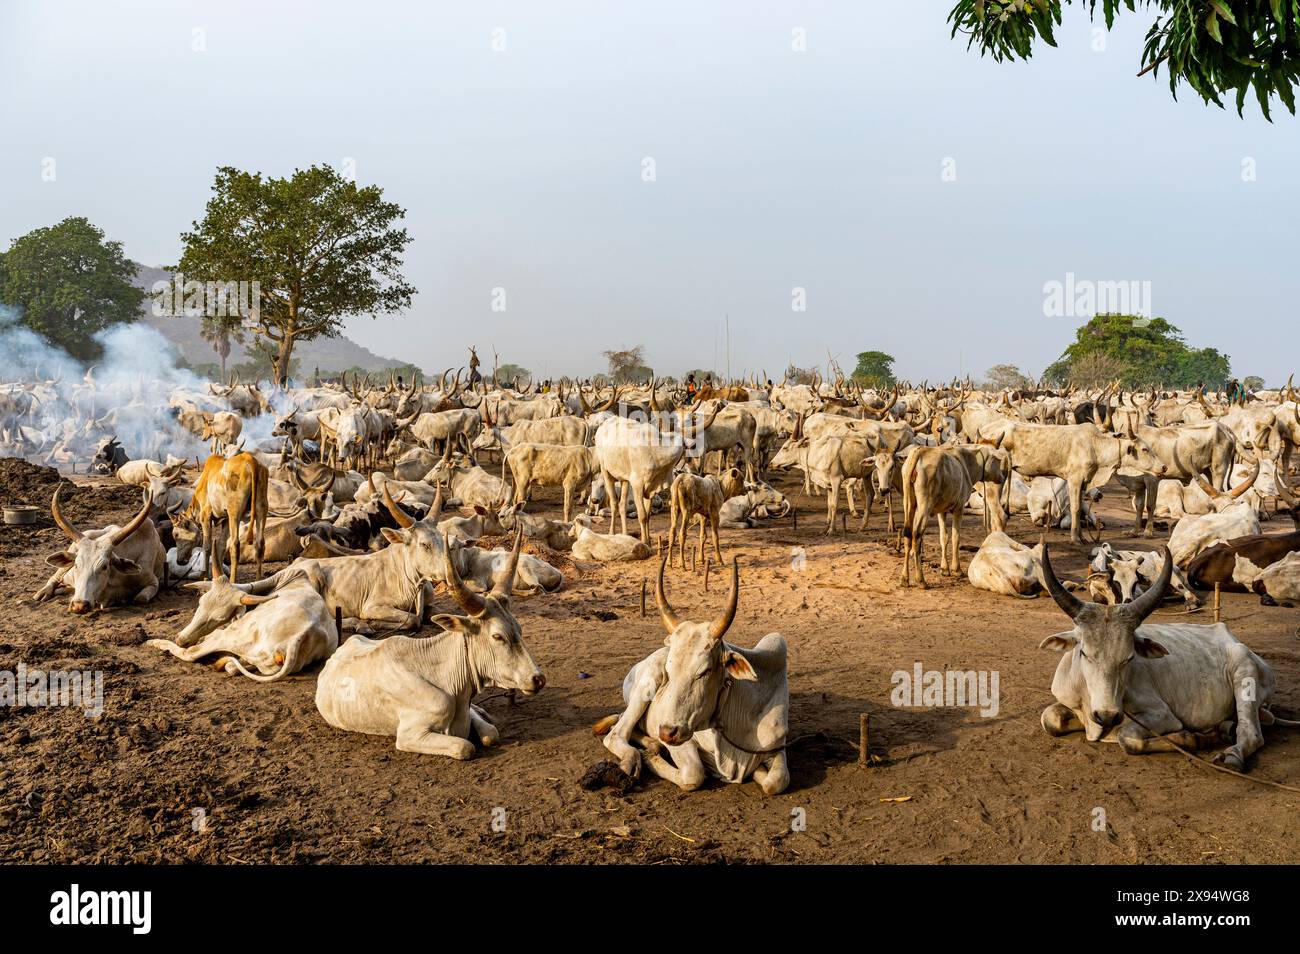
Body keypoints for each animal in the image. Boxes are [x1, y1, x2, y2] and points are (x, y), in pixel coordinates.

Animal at [33, 486, 166, 613]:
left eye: (104, 567)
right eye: (76, 565)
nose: (79, 605)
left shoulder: (153, 582)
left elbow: (140, 599)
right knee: (54, 577)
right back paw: (43, 593)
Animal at [146, 573, 337, 681]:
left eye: (220, 617)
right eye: (200, 602)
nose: (182, 639)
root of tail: (296, 640)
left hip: (230, 636)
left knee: (192, 653)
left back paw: (155, 643)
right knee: (232, 667)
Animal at [314, 533, 544, 758]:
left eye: (519, 629)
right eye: (497, 636)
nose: (538, 679)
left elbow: (491, 734)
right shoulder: (410, 735)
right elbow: (465, 748)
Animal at [594, 557, 789, 795]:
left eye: (704, 671)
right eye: (669, 672)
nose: (667, 731)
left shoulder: (778, 748)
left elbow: (775, 782)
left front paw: (759, 773)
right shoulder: (685, 738)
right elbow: (694, 774)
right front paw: (650, 758)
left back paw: (651, 743)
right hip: (644, 689)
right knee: (616, 733)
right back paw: (639, 755)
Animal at [1037, 545, 1294, 771]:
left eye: (1129, 658)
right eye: (1083, 653)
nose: (1107, 715)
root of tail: (1232, 638)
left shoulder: (1161, 715)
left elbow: (1126, 737)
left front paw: (1190, 739)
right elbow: (1049, 718)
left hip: (1245, 674)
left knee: (1251, 734)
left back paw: (1230, 753)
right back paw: (1224, 728)